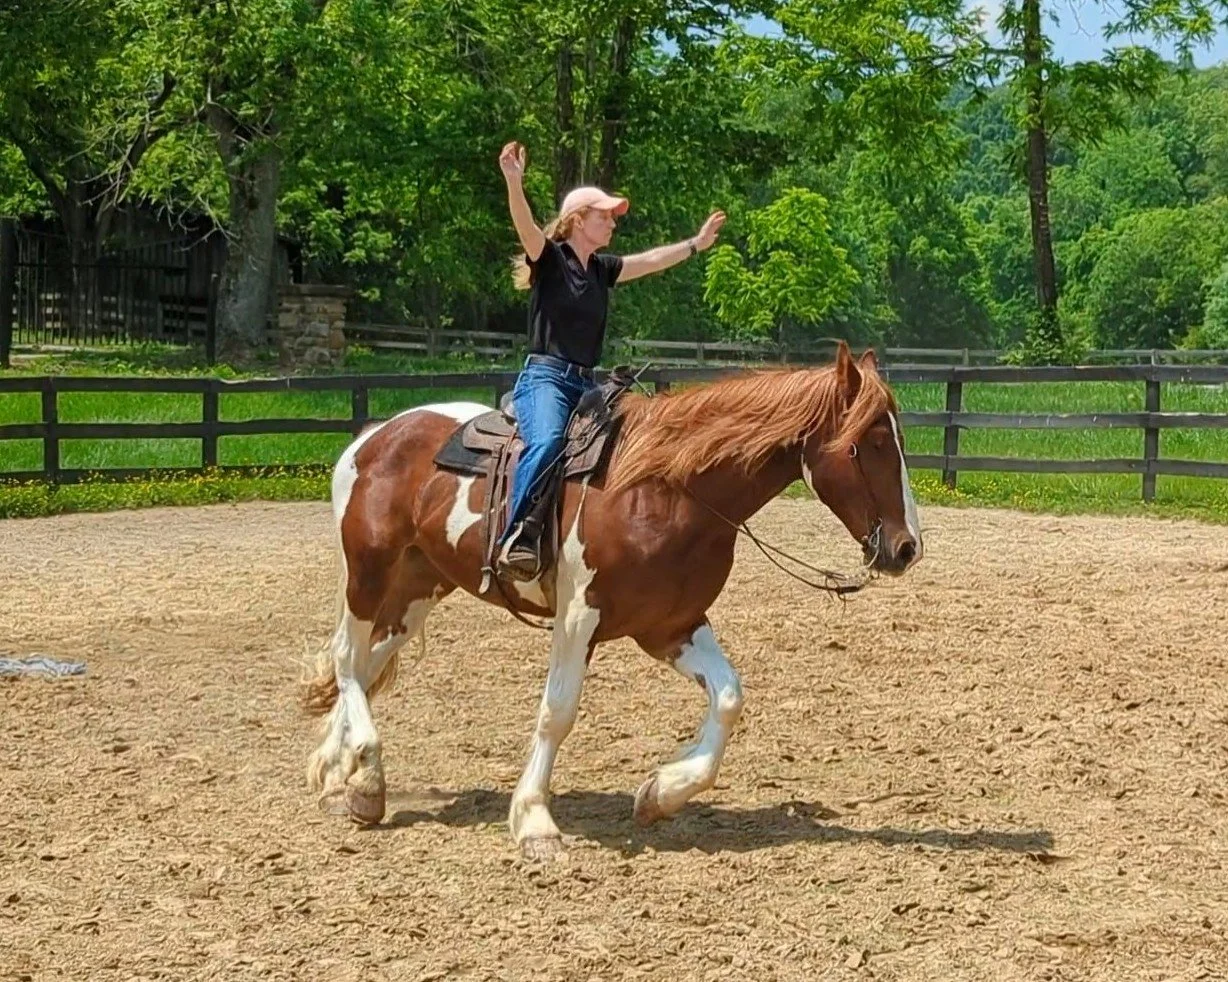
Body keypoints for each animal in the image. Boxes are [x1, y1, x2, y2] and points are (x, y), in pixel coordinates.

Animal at [300, 341, 923, 860]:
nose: (906, 546)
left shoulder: (672, 625)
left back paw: (338, 774)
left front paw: (662, 792)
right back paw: (367, 779)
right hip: (368, 573)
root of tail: (373, 435)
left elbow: (728, 698)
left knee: (365, 664)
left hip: (416, 588)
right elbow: (558, 712)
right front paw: (535, 821)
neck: (666, 487)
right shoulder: (579, 618)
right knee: (347, 659)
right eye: (870, 443)